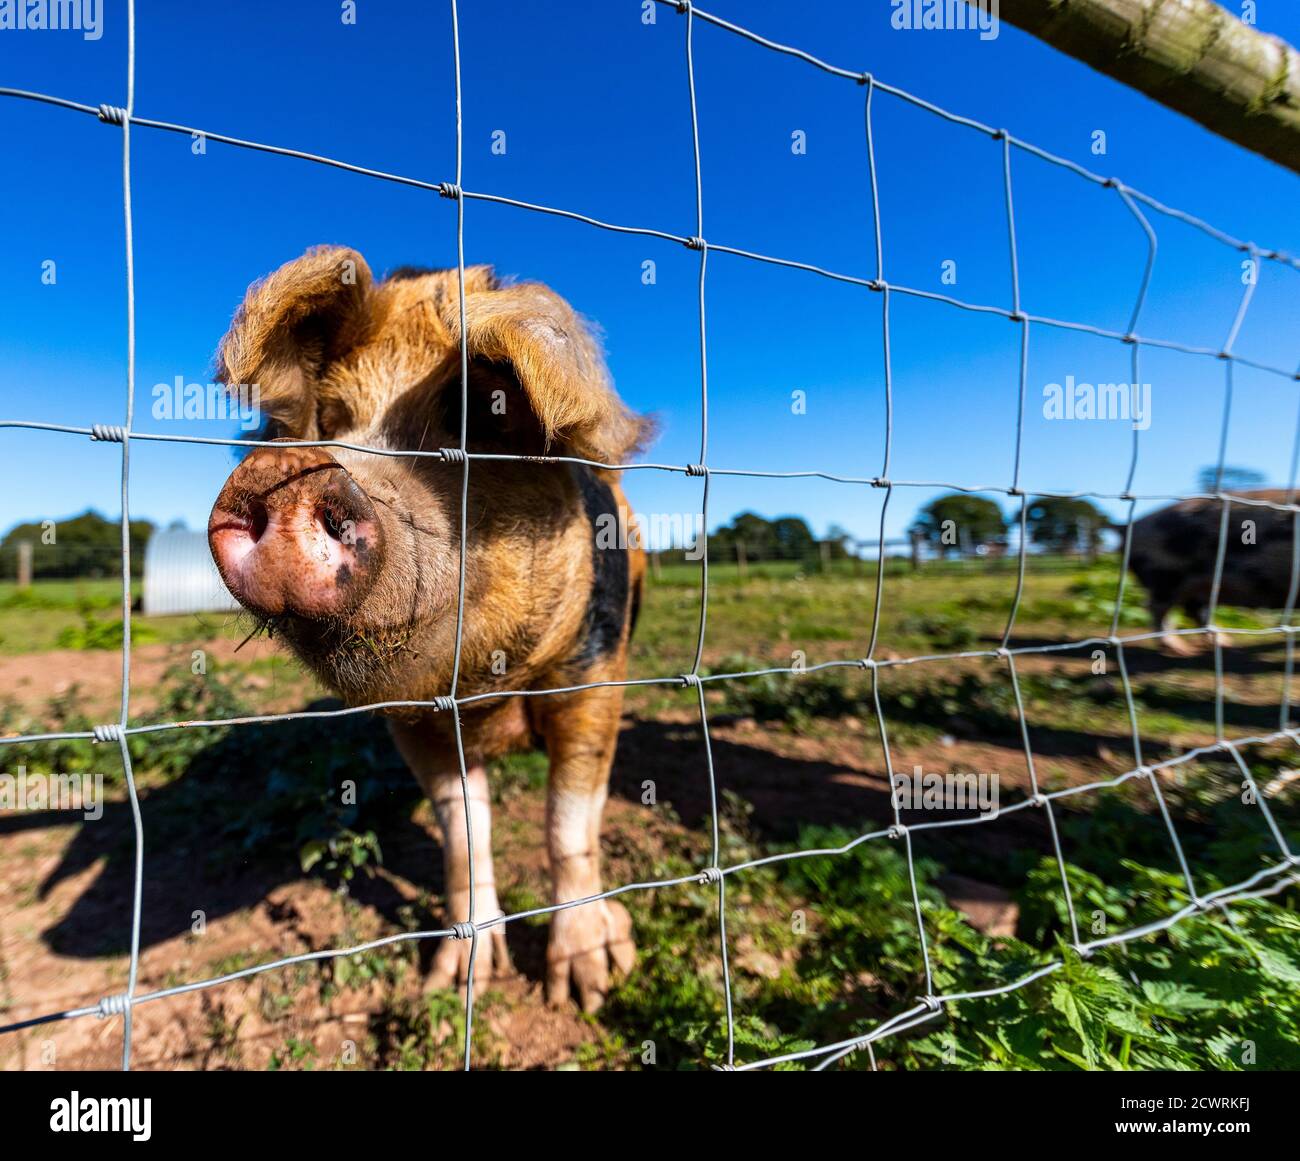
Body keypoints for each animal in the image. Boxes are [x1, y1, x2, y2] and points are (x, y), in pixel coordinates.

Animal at [207, 246, 649, 1011]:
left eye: (478, 419)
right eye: (332, 418)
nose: (289, 471)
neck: (485, 695)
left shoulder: (594, 673)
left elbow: (568, 824)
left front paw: (587, 989)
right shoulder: (411, 724)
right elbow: (463, 834)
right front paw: (456, 984)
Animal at [1127, 491, 1297, 653]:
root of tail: (1129, 527)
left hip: (1193, 585)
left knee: (1194, 610)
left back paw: (1225, 644)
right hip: (1164, 576)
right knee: (1156, 608)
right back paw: (1182, 650)